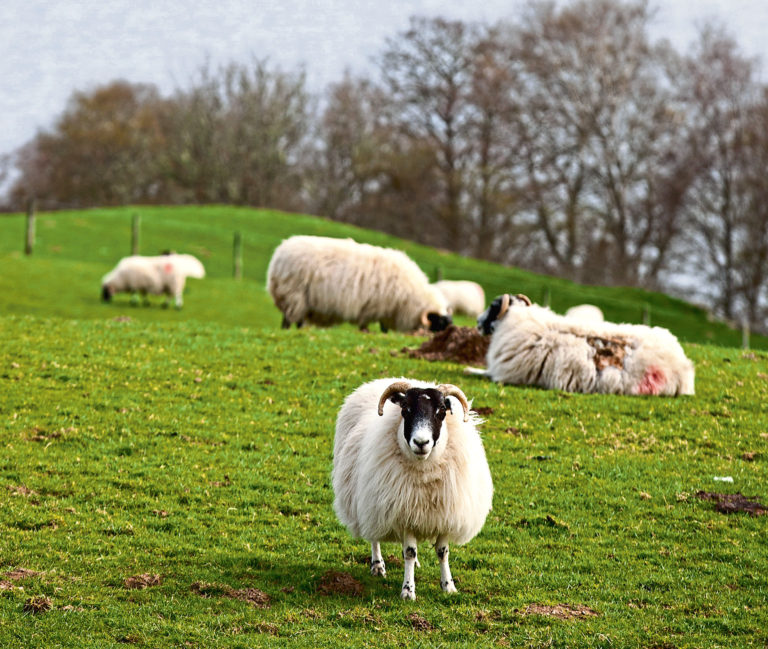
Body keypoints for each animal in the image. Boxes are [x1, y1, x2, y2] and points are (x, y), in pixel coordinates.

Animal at [267, 235, 451, 332]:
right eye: (438, 325)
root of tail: (279, 253)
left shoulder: (385, 309)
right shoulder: (376, 306)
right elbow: (369, 325)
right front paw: (367, 332)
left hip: (300, 299)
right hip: (294, 294)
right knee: (289, 319)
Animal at [332, 378, 493, 600]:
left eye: (441, 411)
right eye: (406, 410)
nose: (421, 442)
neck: (425, 471)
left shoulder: (446, 514)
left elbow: (443, 552)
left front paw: (448, 586)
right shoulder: (403, 512)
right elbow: (409, 551)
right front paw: (408, 591)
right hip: (370, 497)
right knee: (374, 535)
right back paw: (378, 566)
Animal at [471, 294, 695, 396]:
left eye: (493, 306)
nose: (477, 322)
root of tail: (683, 363)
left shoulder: (507, 375)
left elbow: (481, 373)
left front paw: (469, 369)